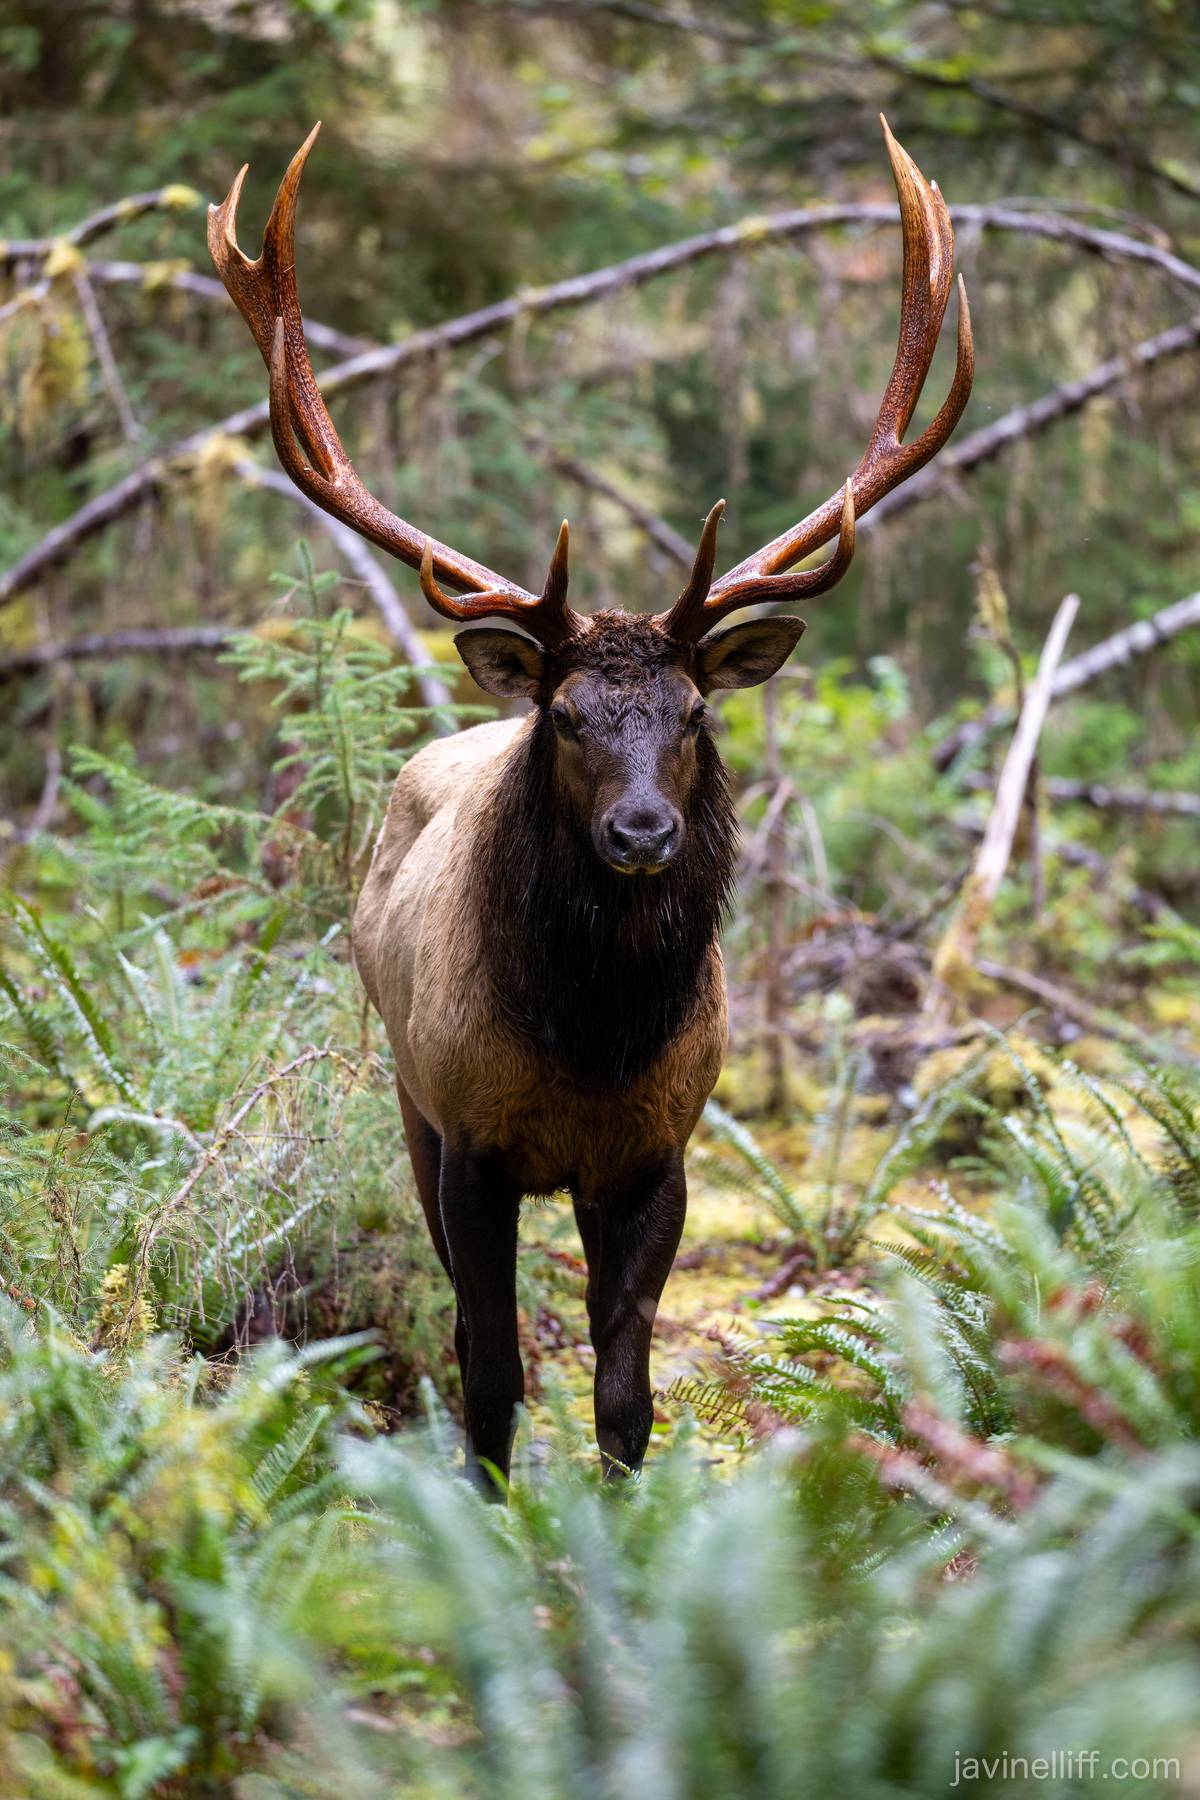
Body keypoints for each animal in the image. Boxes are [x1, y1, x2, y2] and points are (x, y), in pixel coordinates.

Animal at [209, 116, 973, 1489]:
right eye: (566, 717)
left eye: (695, 712)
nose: (642, 830)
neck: (591, 1042)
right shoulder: (470, 1140)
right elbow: (490, 1370)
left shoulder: (659, 1151)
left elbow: (626, 1391)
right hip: (404, 1094)